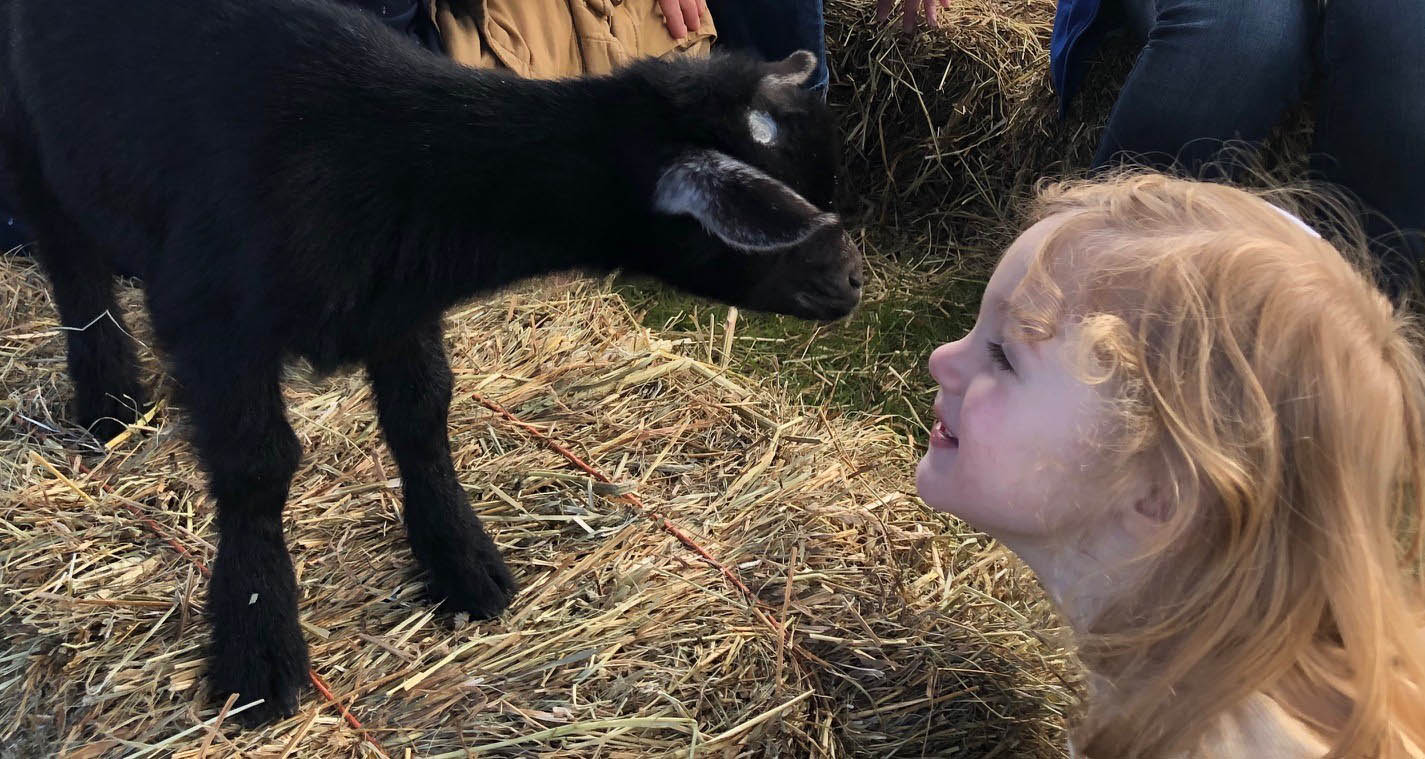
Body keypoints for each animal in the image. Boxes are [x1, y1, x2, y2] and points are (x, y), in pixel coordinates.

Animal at [0, 0, 862, 725]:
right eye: (782, 218)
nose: (851, 282)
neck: (384, 152)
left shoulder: (398, 300)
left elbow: (423, 416)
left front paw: (462, 561)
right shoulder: (214, 321)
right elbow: (256, 469)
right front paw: (258, 645)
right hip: (31, 136)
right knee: (70, 259)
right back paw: (109, 400)